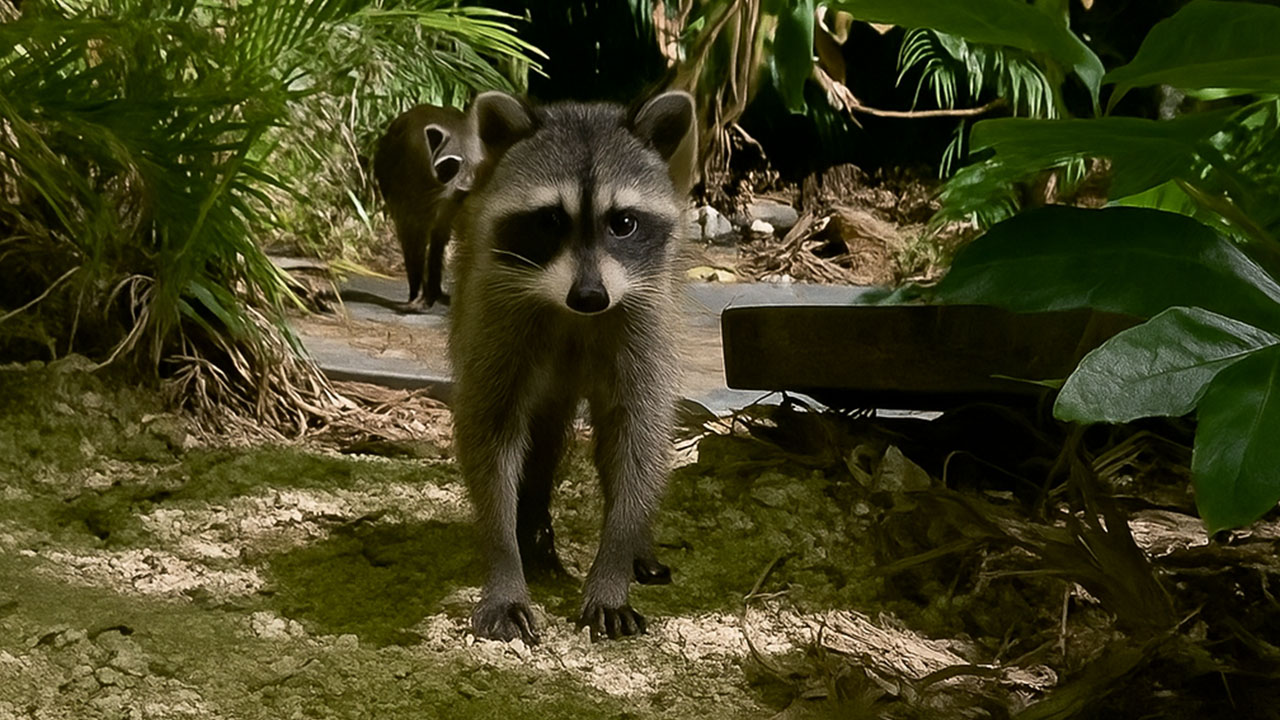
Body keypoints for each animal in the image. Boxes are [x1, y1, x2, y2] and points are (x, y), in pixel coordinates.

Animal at [449, 90, 696, 643]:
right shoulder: (497, 311)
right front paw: (504, 563)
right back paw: (532, 529)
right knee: (539, 439)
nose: (589, 297)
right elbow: (491, 434)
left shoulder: (645, 318)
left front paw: (614, 563)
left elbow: (637, 436)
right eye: (549, 221)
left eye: (622, 223)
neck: (573, 312)